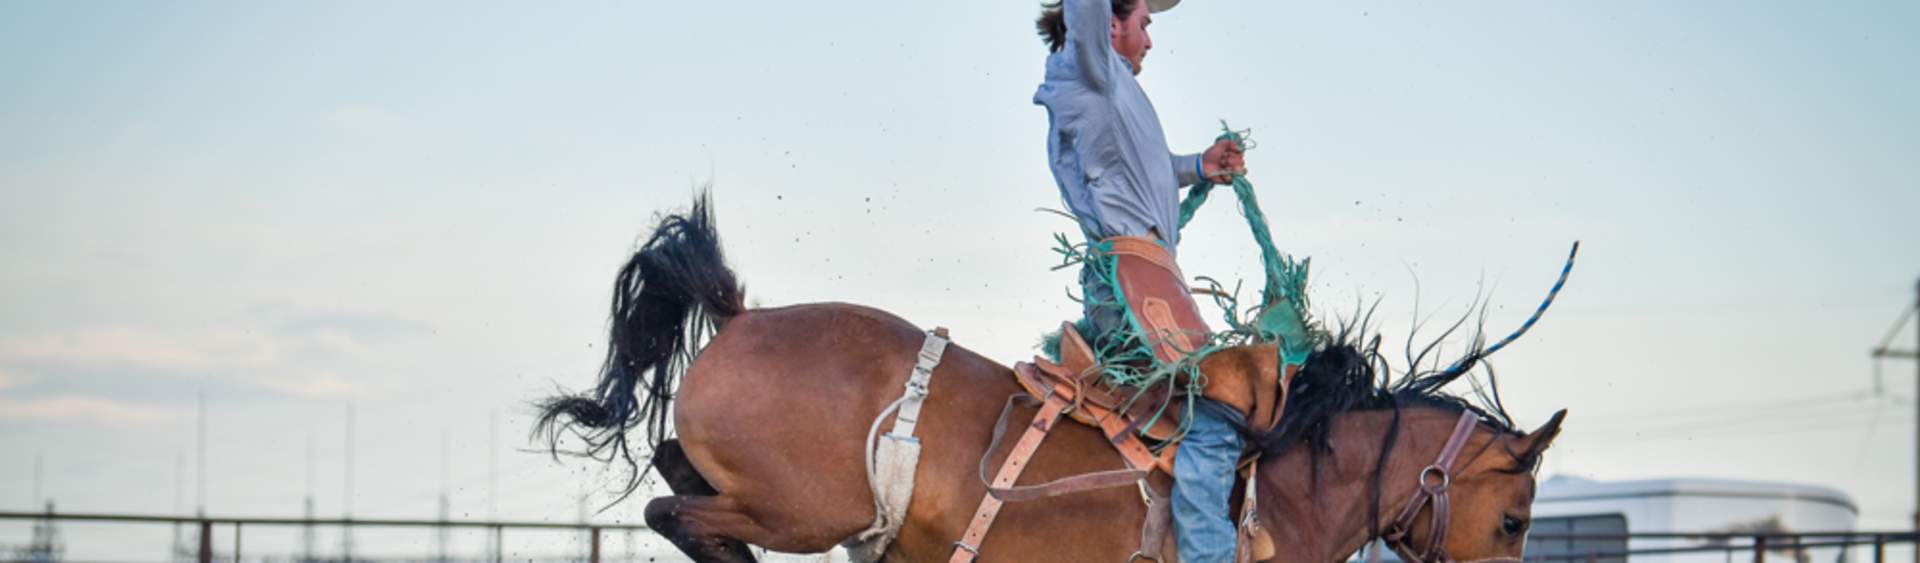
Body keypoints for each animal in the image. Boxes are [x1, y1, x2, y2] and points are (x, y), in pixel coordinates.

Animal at [536, 195, 1568, 563]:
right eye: (1514, 519)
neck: (1290, 490)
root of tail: (744, 312)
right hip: (803, 511)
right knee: (676, 510)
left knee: (673, 472)